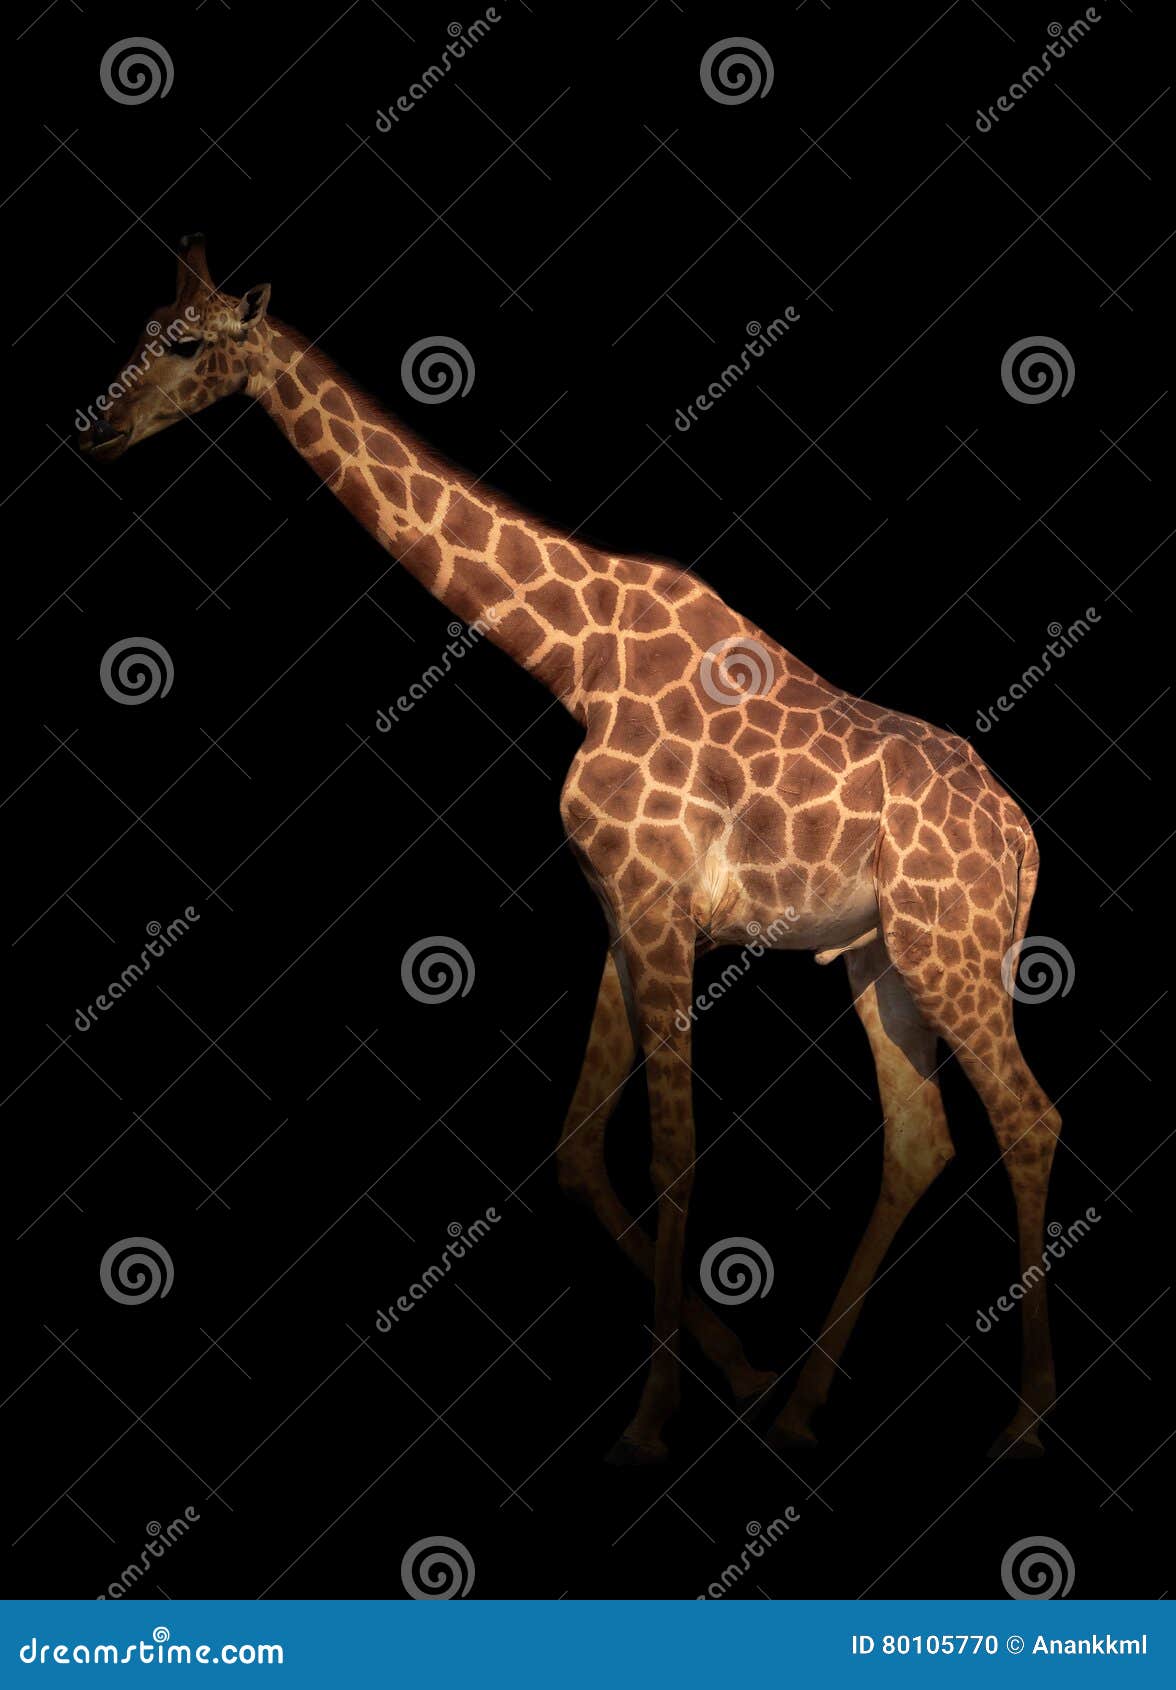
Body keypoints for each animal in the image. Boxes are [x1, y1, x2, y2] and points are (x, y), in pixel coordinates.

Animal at [79, 237, 1063, 1465]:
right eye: (136, 329)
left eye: (185, 341)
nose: (97, 432)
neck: (574, 656)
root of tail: (1021, 836)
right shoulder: (619, 907)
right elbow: (579, 1151)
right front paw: (739, 1373)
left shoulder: (658, 903)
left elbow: (671, 1148)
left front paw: (648, 1422)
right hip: (883, 959)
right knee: (922, 1138)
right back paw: (802, 1408)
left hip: (952, 948)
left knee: (1026, 1118)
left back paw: (1025, 1420)